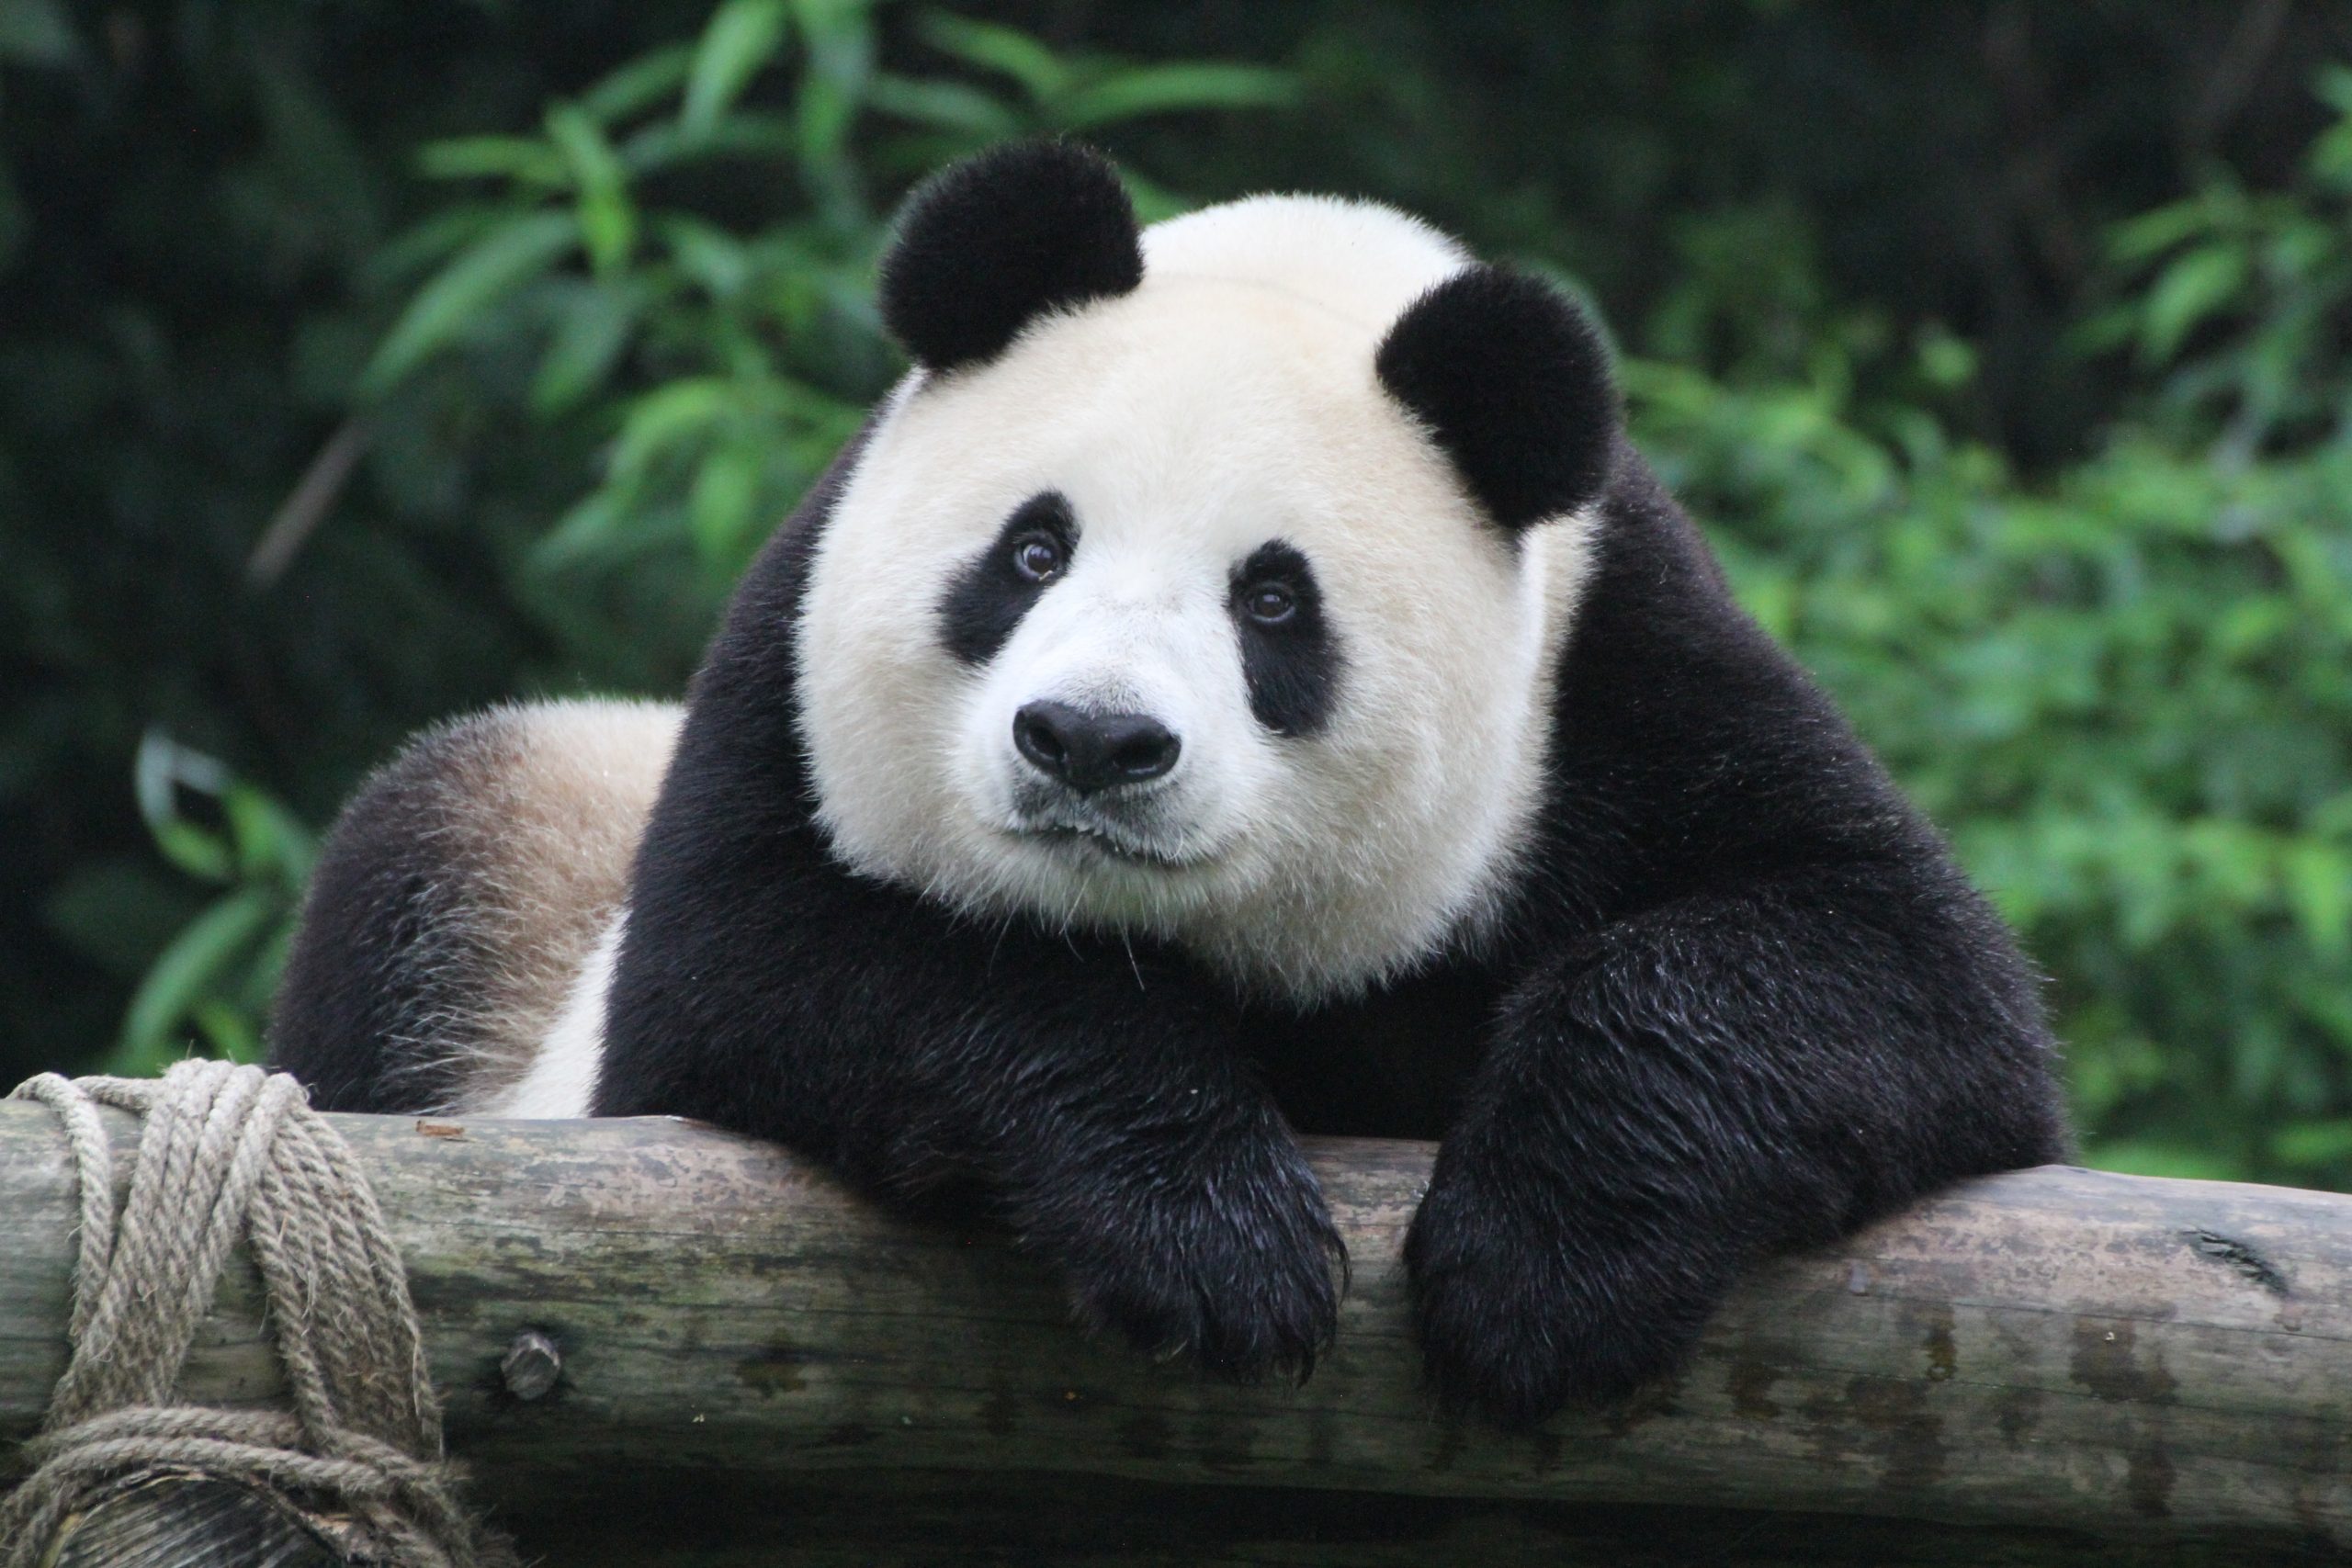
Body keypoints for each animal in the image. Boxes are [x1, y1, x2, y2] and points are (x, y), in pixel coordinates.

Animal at [270, 139, 2068, 1428]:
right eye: (1032, 549)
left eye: (1273, 601)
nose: (1091, 742)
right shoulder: (773, 686)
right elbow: (774, 964)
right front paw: (1210, 1245)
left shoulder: (1623, 670)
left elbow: (1889, 961)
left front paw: (1542, 1273)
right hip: (525, 840)